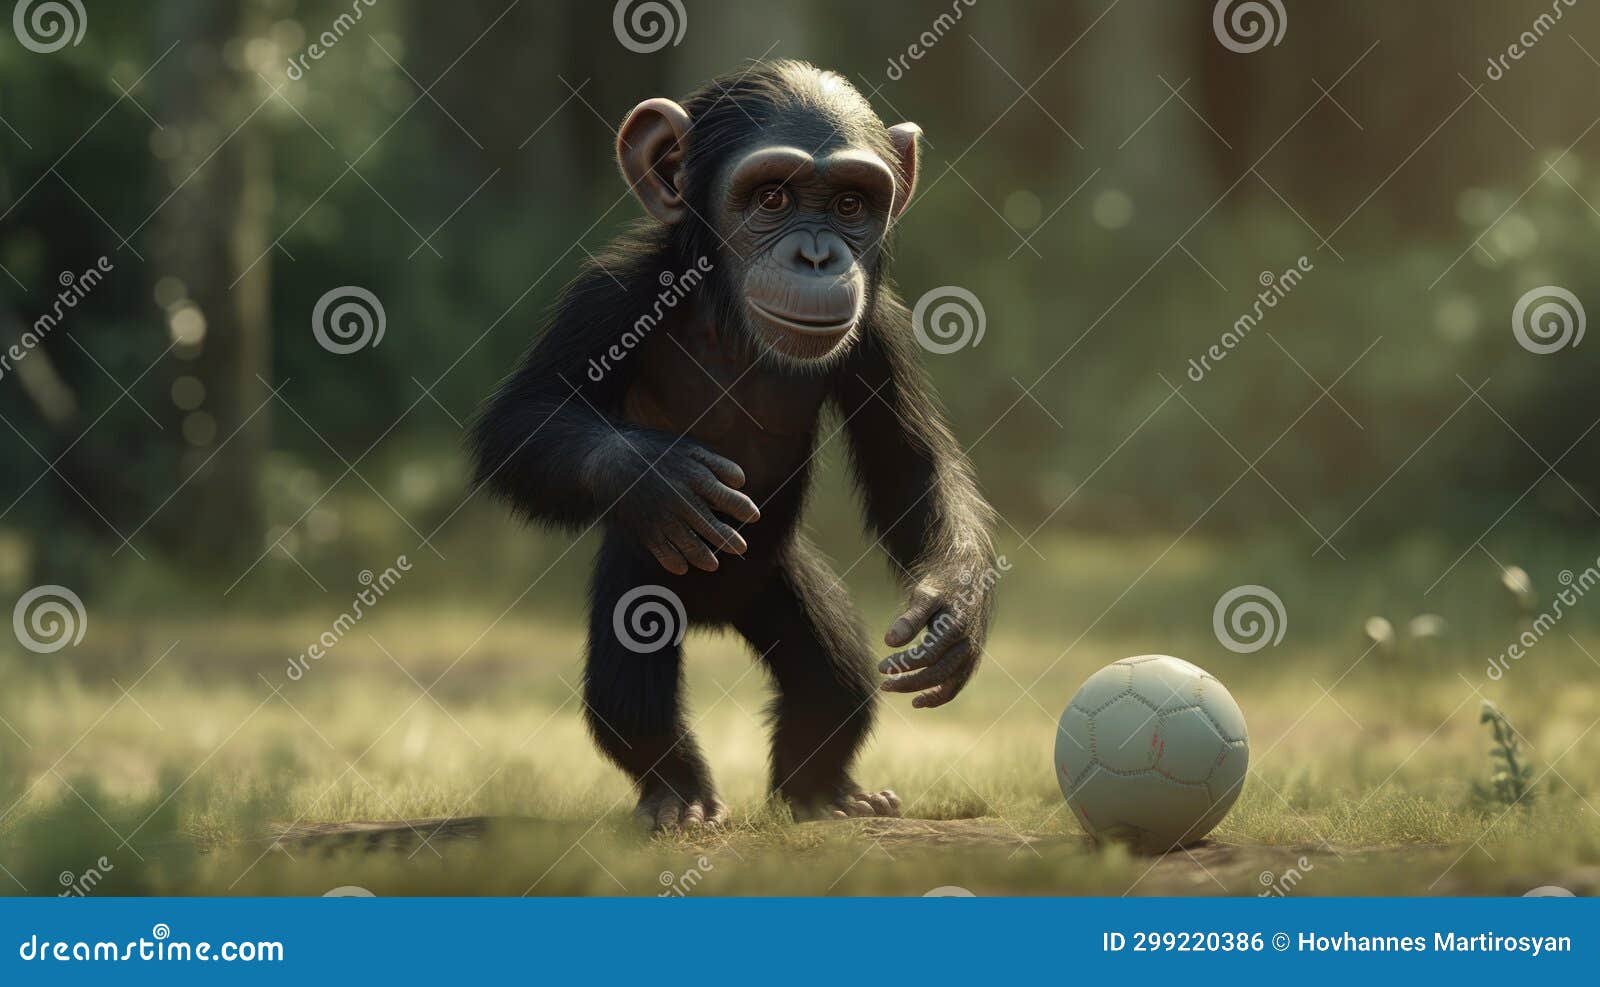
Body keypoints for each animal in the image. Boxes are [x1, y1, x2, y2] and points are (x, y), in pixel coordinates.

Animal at [471, 60, 997, 831]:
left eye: (850, 203)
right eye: (772, 196)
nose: (817, 254)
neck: (727, 310)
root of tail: (715, 616)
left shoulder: (880, 330)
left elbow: (908, 465)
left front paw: (953, 604)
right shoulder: (608, 292)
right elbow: (522, 423)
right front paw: (655, 474)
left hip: (777, 578)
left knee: (833, 679)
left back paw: (822, 793)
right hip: (640, 574)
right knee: (630, 695)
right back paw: (677, 794)